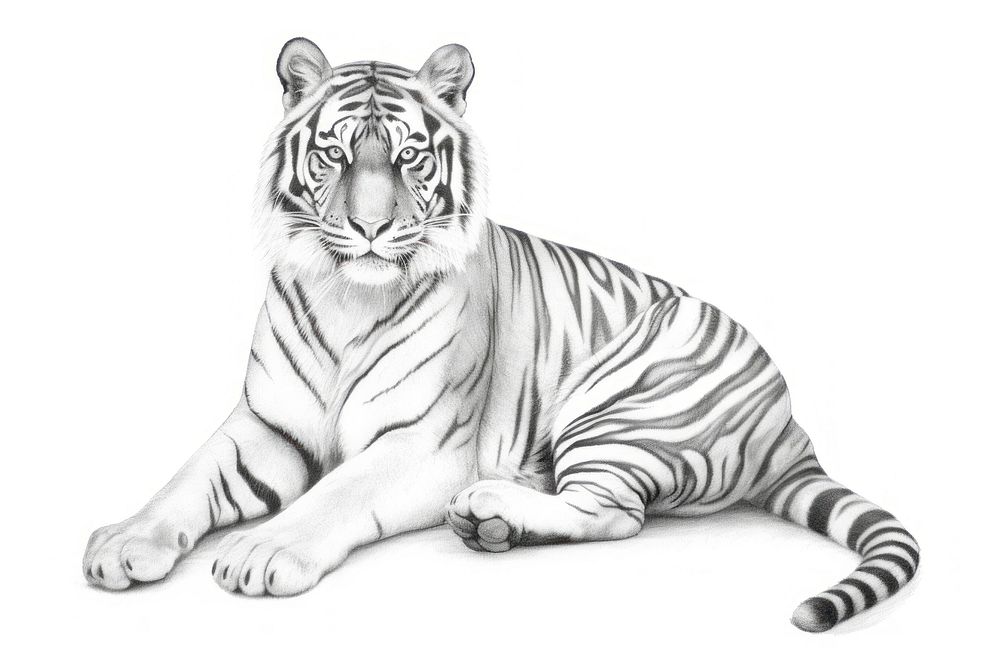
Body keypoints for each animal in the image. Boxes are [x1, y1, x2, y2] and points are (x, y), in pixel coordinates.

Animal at [83, 39, 919, 632]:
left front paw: (262, 550)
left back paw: (489, 507)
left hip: (619, 404)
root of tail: (793, 426)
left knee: (616, 514)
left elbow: (334, 495)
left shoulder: (421, 443)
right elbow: (187, 479)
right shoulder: (268, 422)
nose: (371, 228)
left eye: (409, 156)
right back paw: (490, 523)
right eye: (336, 152)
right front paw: (122, 543)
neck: (347, 292)